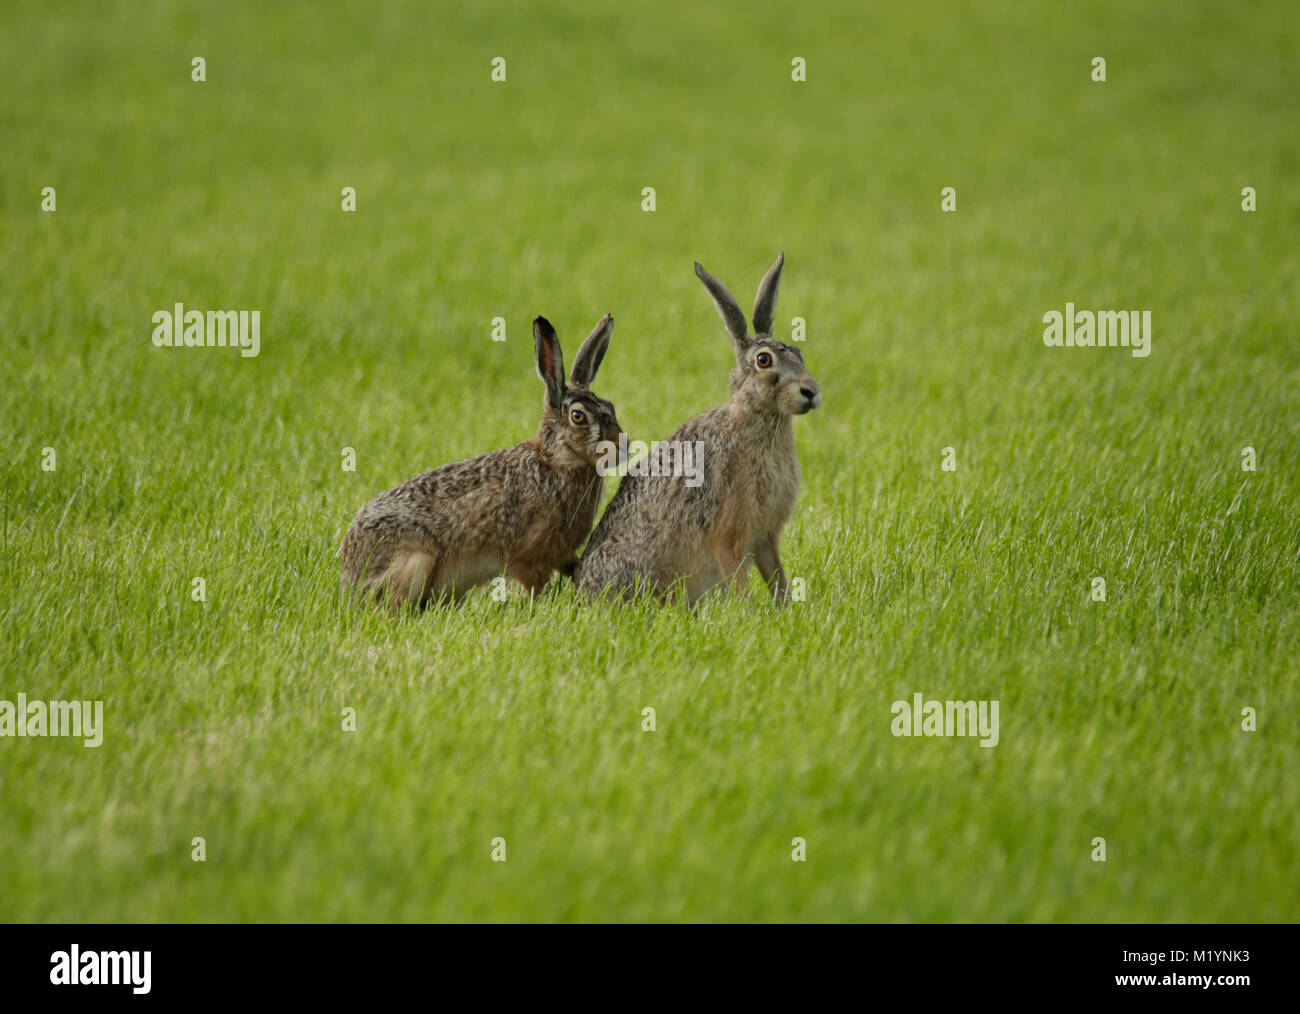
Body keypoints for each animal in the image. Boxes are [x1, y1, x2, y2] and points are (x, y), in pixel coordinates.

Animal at [340, 313, 620, 611]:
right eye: (578, 417)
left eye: (610, 407)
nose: (620, 445)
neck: (554, 461)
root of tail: (348, 581)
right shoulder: (527, 557)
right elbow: (535, 587)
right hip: (416, 560)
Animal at [573, 253, 820, 605]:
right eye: (764, 361)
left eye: (798, 354)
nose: (811, 391)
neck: (757, 418)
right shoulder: (728, 535)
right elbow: (739, 581)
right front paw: (749, 613)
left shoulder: (765, 536)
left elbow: (777, 578)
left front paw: (785, 610)